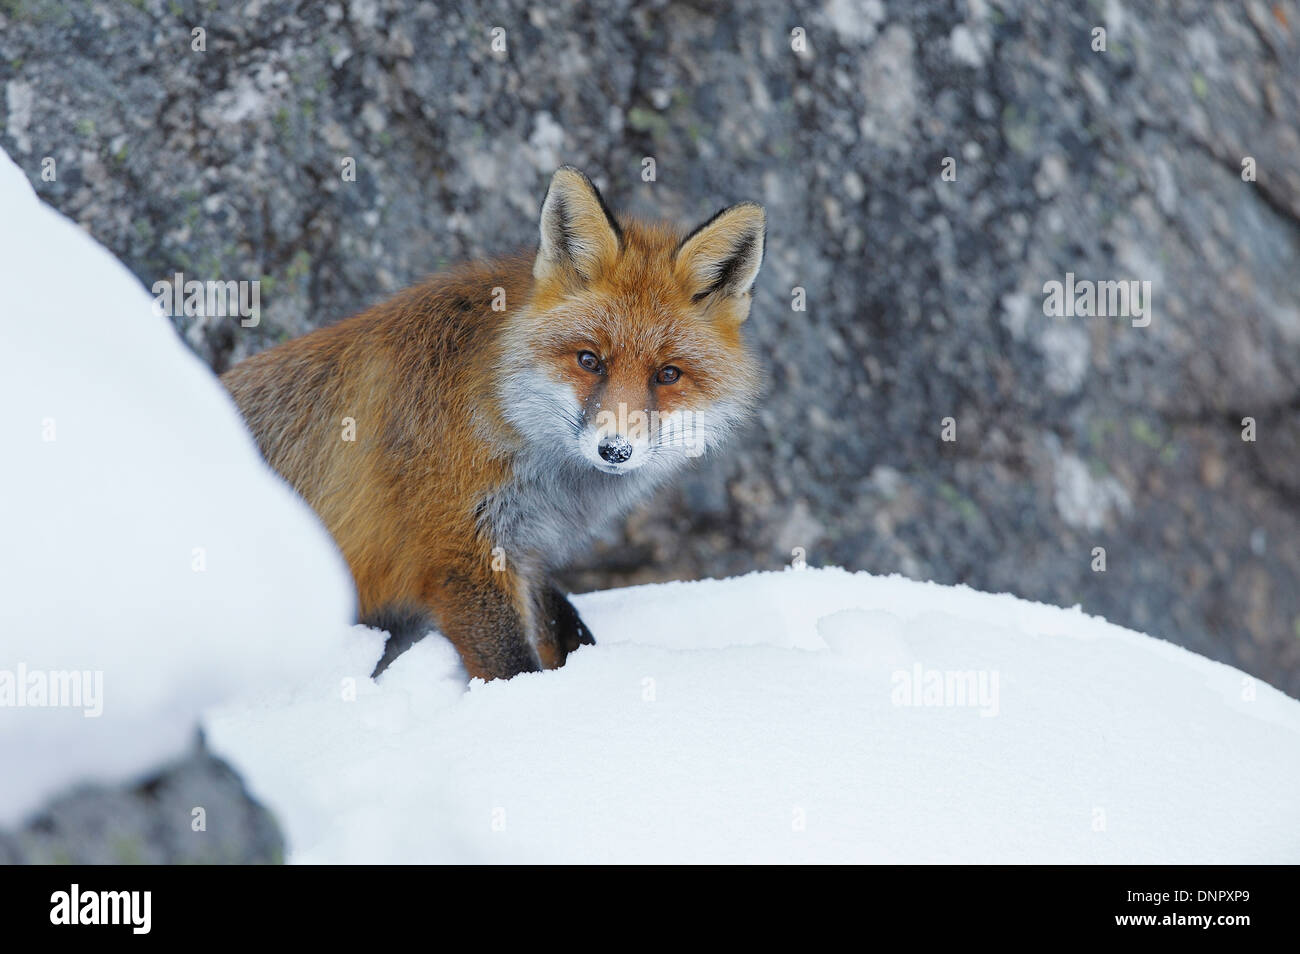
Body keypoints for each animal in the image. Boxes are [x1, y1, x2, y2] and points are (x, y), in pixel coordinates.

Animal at [221, 167, 765, 680]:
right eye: (589, 360)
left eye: (667, 374)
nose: (615, 450)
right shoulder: (457, 556)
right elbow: (512, 665)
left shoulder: (524, 552)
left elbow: (564, 629)